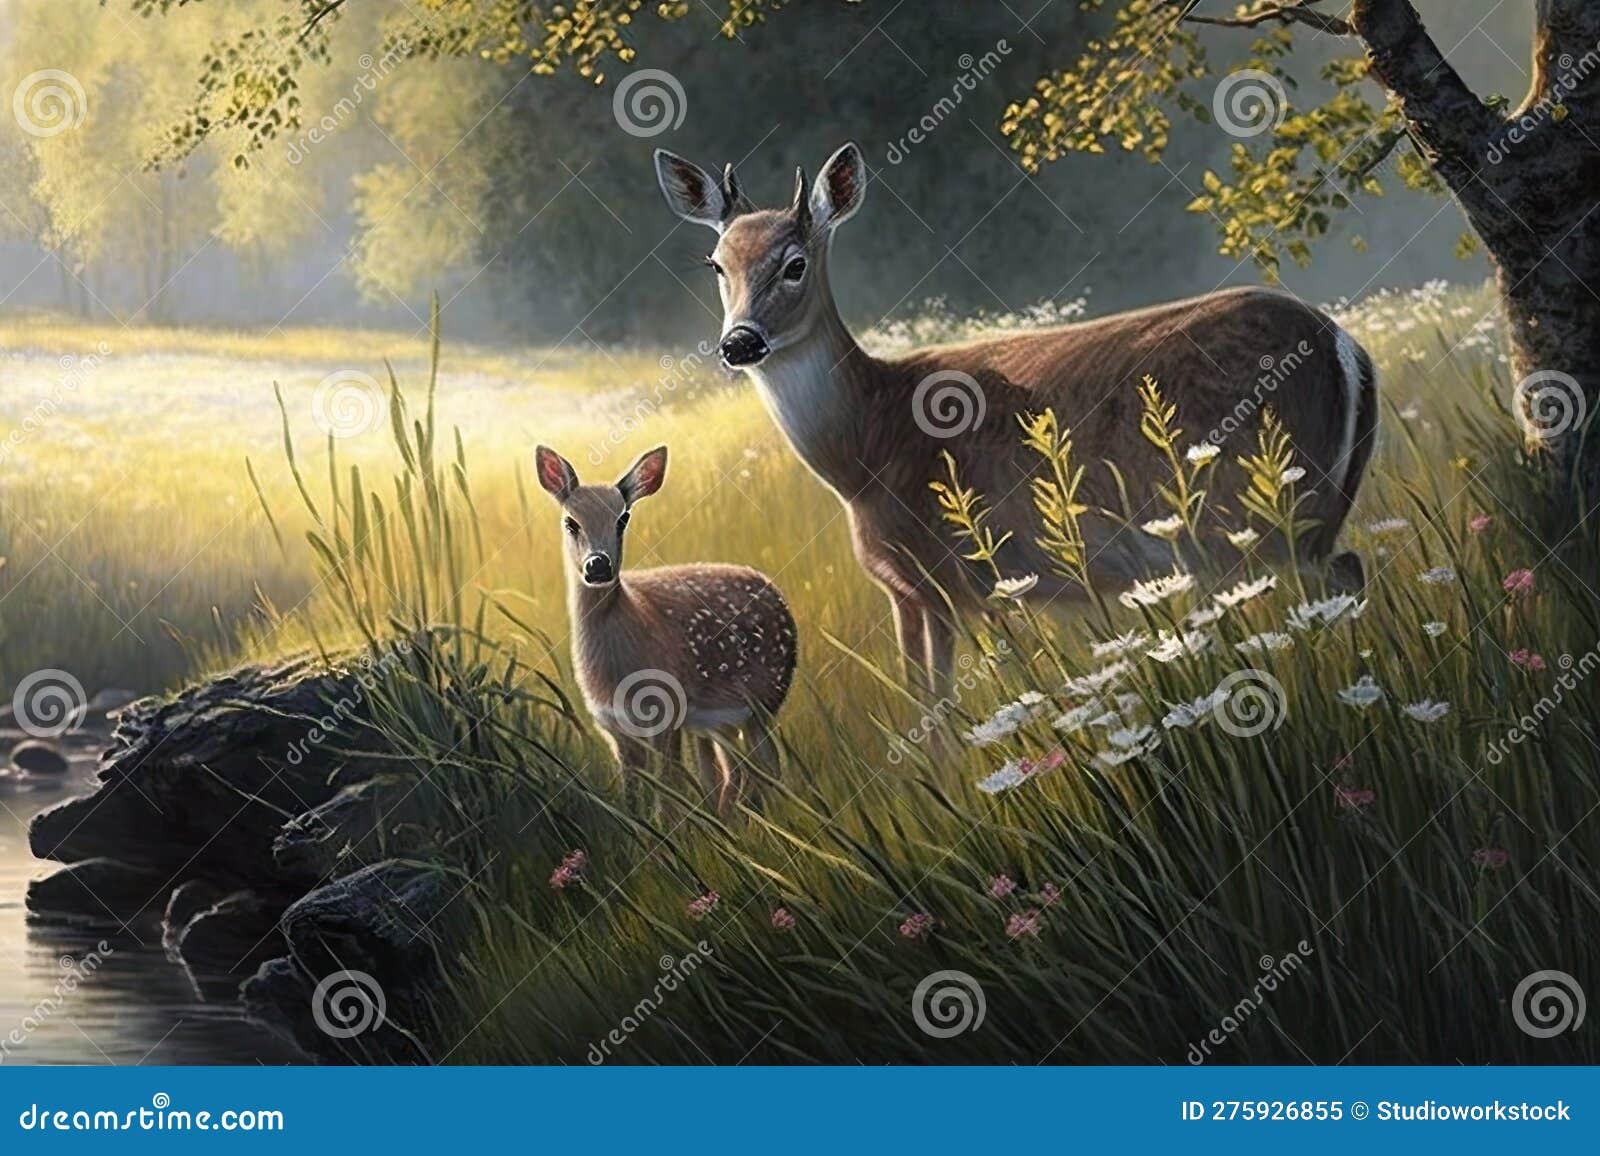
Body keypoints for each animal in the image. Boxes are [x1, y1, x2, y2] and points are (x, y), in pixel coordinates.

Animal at [536, 443, 797, 816]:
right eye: (570, 522)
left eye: (623, 519)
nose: (598, 565)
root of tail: (774, 591)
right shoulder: (615, 729)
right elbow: (633, 800)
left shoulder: (665, 712)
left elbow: (668, 797)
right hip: (716, 722)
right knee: (729, 776)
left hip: (764, 700)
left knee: (766, 770)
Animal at [654, 141, 1377, 712]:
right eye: (718, 264)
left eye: (795, 263)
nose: (739, 342)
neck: (864, 450)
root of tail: (1345, 345)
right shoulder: (908, 592)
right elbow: (923, 710)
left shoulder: (959, 580)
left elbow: (943, 715)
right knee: (1349, 572)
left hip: (1257, 516)